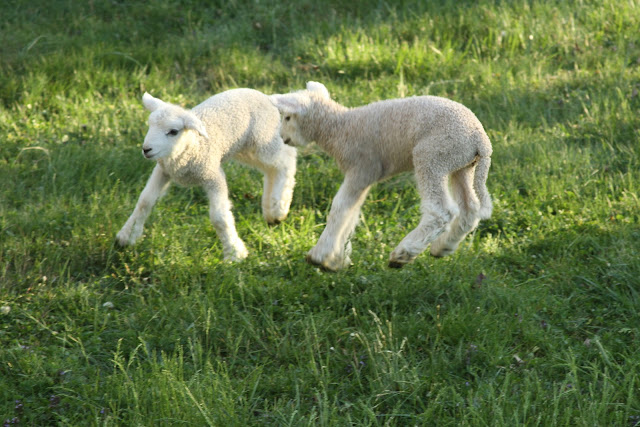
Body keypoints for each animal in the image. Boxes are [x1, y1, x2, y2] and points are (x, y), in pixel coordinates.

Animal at [116, 89, 297, 261]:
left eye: (173, 131)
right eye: (150, 125)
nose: (146, 149)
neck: (190, 147)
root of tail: (267, 97)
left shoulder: (212, 174)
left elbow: (219, 217)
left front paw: (234, 253)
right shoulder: (163, 170)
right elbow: (144, 201)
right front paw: (126, 237)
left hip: (263, 140)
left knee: (286, 160)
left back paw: (279, 207)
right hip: (246, 149)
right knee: (270, 170)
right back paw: (270, 211)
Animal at [269, 81, 492, 271]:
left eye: (287, 118)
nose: (283, 137)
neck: (338, 128)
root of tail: (480, 140)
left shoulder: (361, 168)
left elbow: (339, 208)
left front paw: (319, 256)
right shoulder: (365, 177)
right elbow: (351, 213)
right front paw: (335, 259)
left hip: (434, 155)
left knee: (441, 211)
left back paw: (403, 254)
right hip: (461, 164)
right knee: (469, 208)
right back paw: (442, 247)